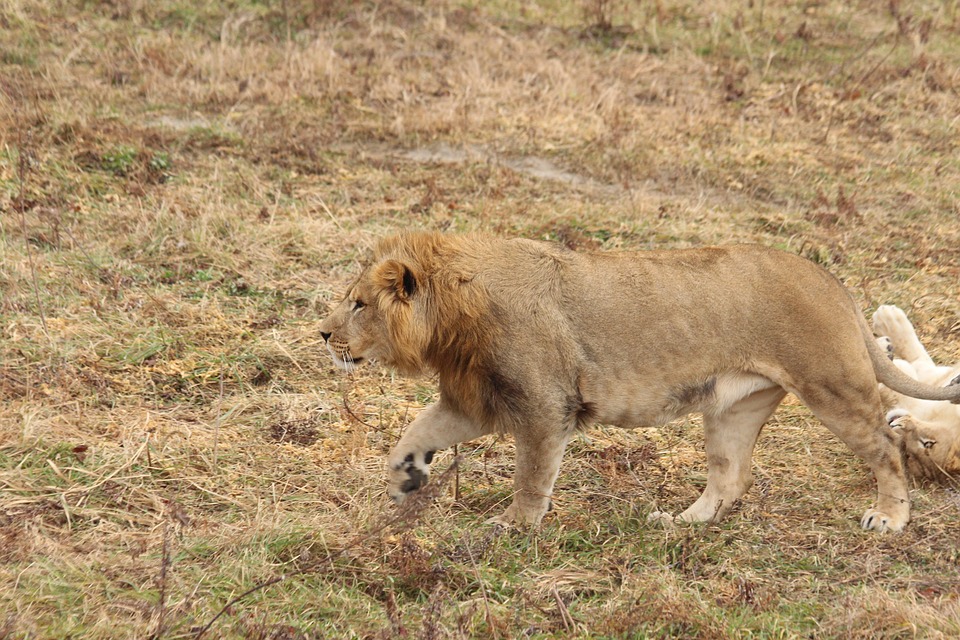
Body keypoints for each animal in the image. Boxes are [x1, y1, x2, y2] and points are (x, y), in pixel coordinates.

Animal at [872, 305, 960, 481]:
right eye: (929, 443)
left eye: (907, 455)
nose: (894, 425)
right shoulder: (937, 382)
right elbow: (916, 356)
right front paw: (888, 318)